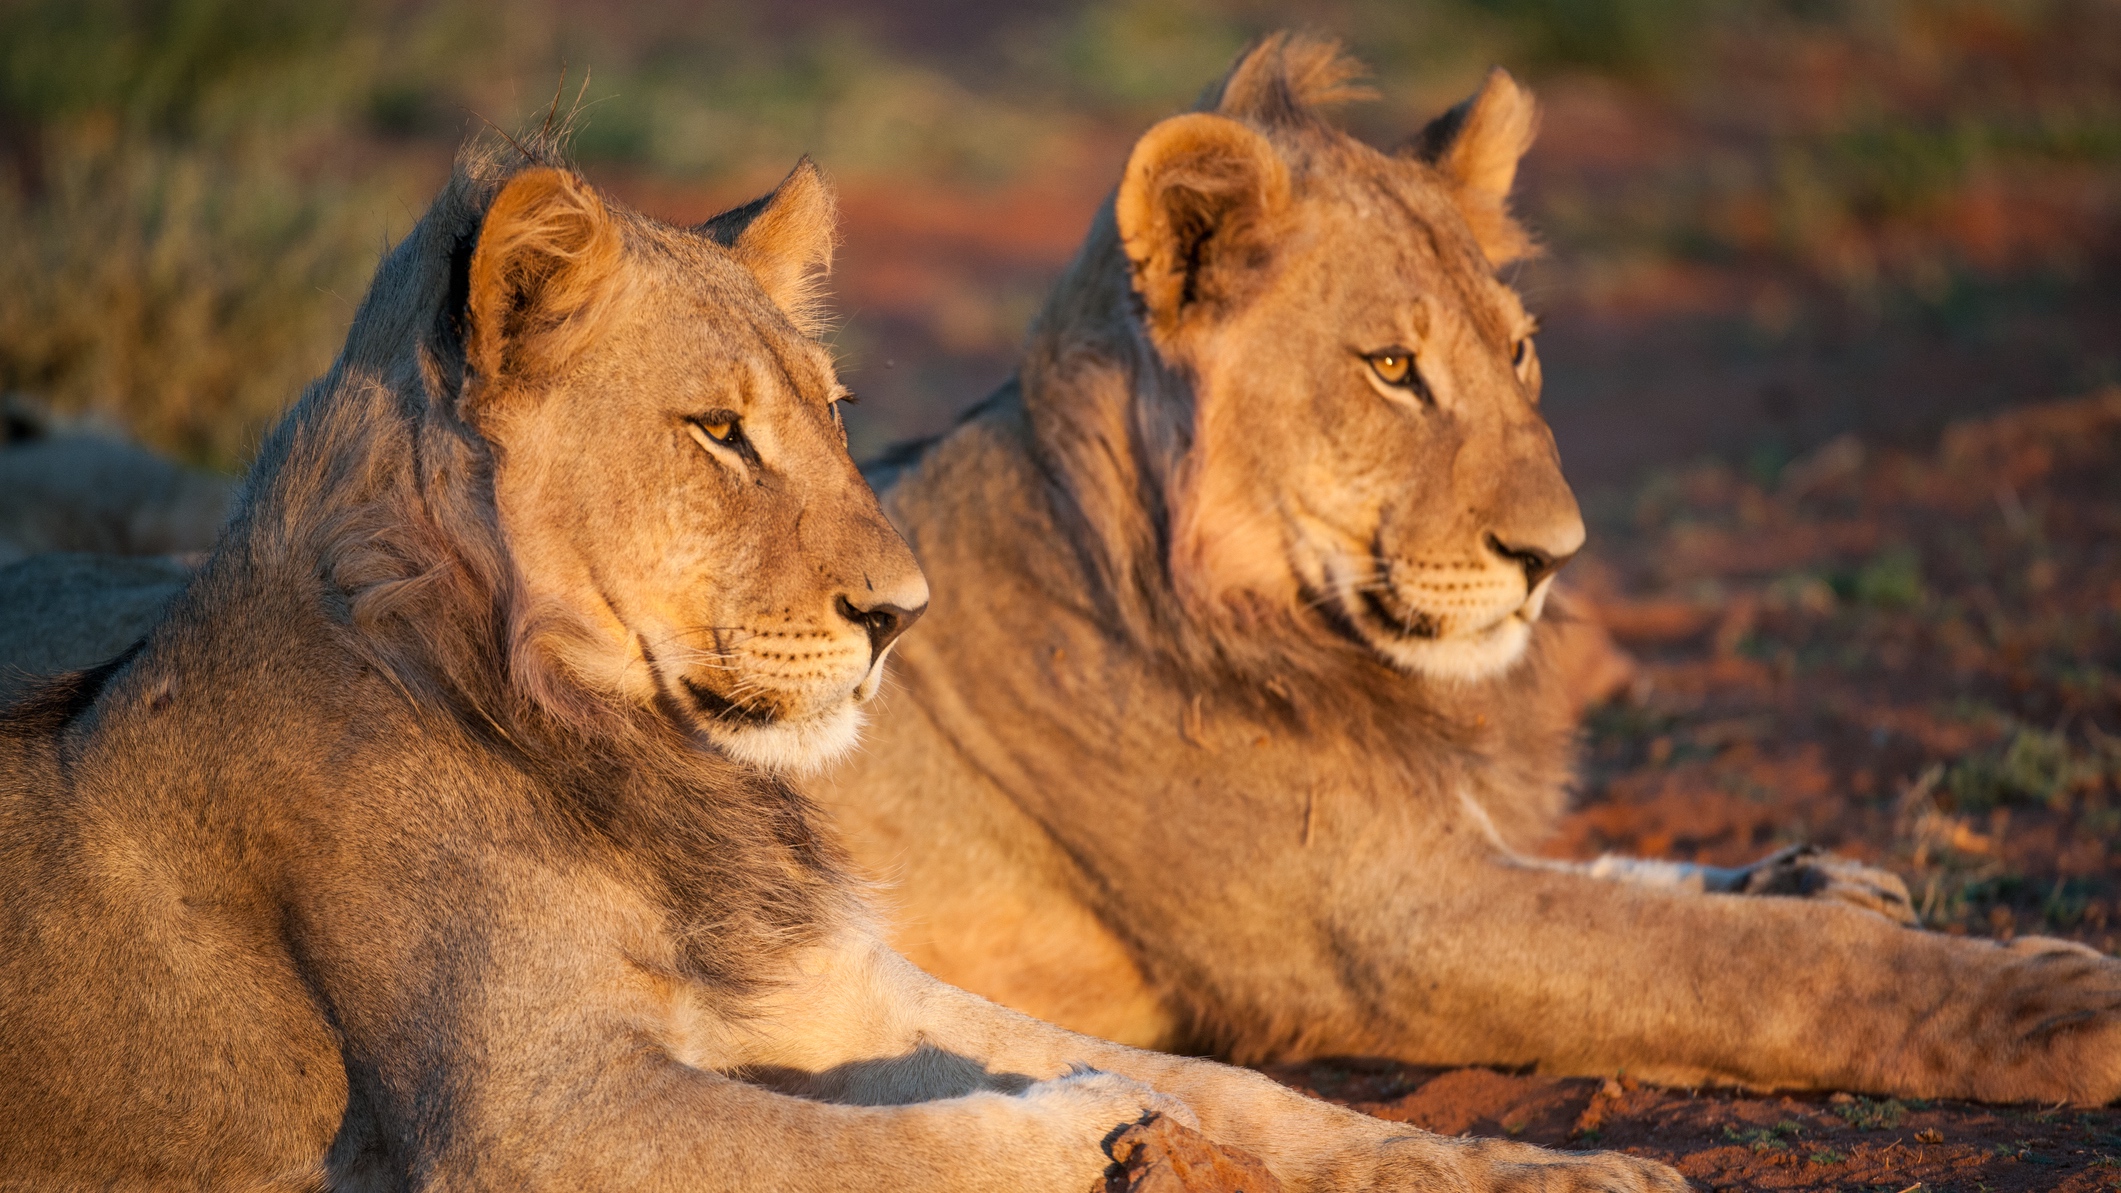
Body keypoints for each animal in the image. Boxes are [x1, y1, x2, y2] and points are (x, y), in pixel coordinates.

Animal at [0, 135, 1683, 1191]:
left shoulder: (832, 993)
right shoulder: (531, 1120)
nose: (901, 613)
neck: (643, 763)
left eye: (832, 411)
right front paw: (1084, 1129)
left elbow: (1230, 1085)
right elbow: (906, 1145)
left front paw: (1518, 1167)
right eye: (716, 433)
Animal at [801, 36, 2121, 1102]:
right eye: (1391, 367)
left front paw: (1807, 876)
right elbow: (1745, 962)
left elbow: (1629, 879)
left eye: (1520, 350)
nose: (1555, 557)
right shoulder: (1385, 922)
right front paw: (2056, 1002)